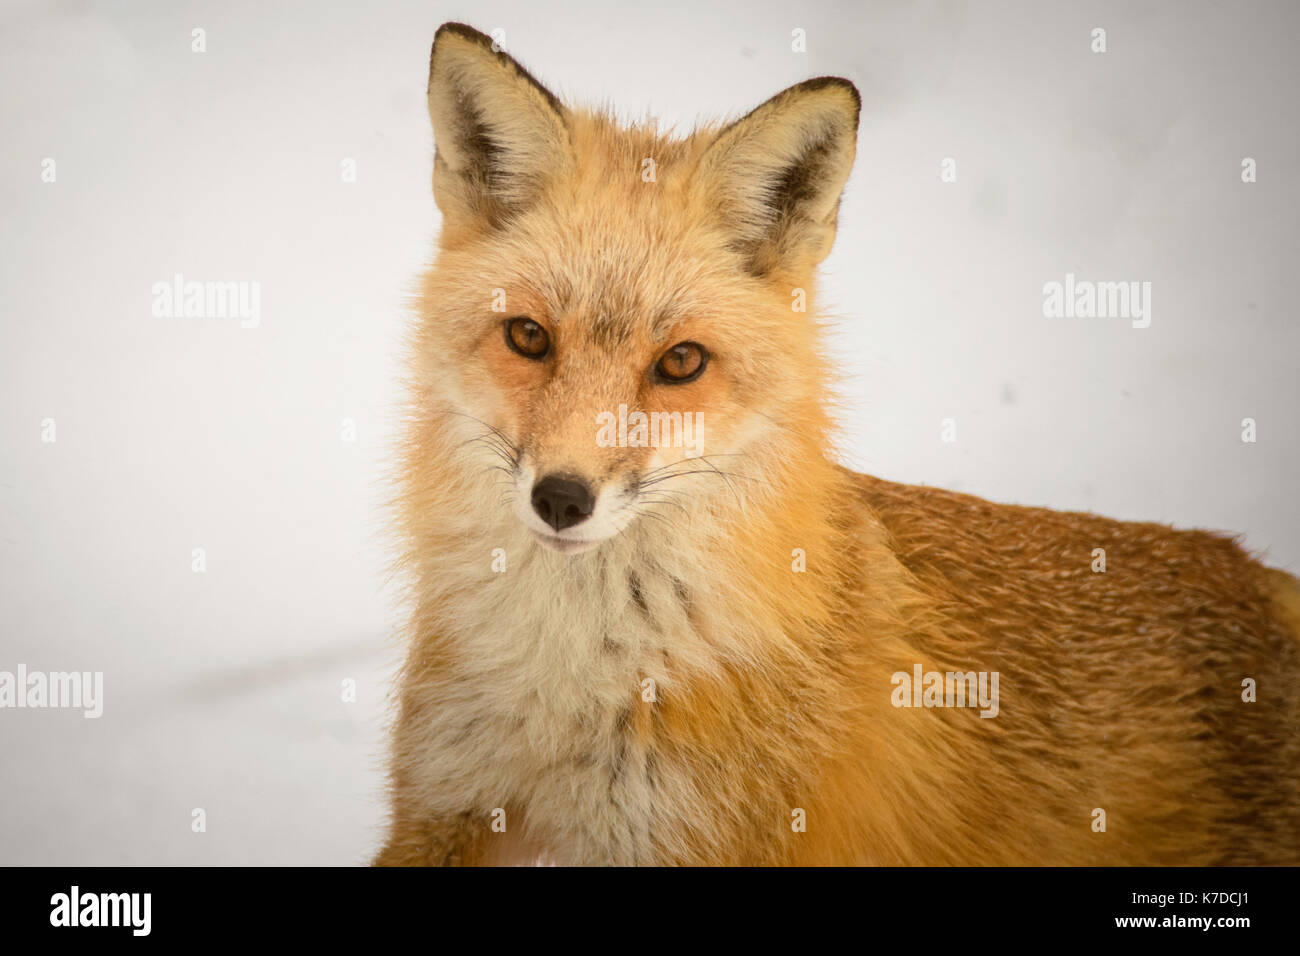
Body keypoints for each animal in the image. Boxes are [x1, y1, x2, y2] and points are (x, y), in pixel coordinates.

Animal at [375, 22, 1300, 866]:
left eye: (681, 363)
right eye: (529, 337)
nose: (562, 499)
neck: (570, 680)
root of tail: (1254, 576)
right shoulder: (443, 808)